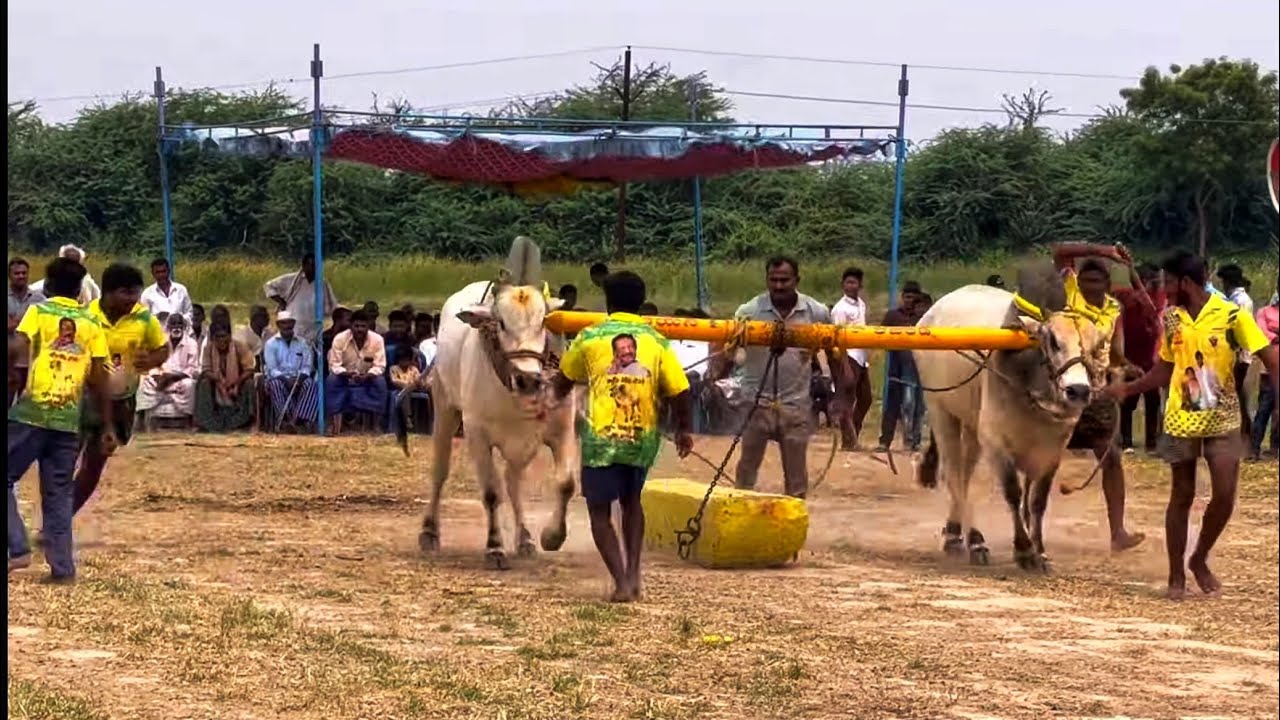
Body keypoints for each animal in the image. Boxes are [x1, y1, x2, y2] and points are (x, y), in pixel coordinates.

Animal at [420, 237, 578, 570]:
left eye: (543, 323)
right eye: (501, 323)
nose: (528, 379)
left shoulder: (561, 430)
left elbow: (566, 483)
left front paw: (551, 536)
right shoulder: (477, 434)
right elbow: (492, 493)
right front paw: (494, 547)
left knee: (513, 481)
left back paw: (525, 539)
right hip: (444, 408)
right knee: (440, 472)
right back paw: (429, 532)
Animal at [912, 275, 1107, 572]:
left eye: (1097, 346)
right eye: (1053, 341)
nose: (1078, 390)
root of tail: (930, 314)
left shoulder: (1053, 450)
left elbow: (1037, 501)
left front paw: (1040, 552)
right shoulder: (996, 443)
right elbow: (1014, 494)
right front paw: (1024, 550)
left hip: (971, 425)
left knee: (965, 476)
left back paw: (956, 533)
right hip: (940, 410)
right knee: (954, 474)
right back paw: (974, 540)